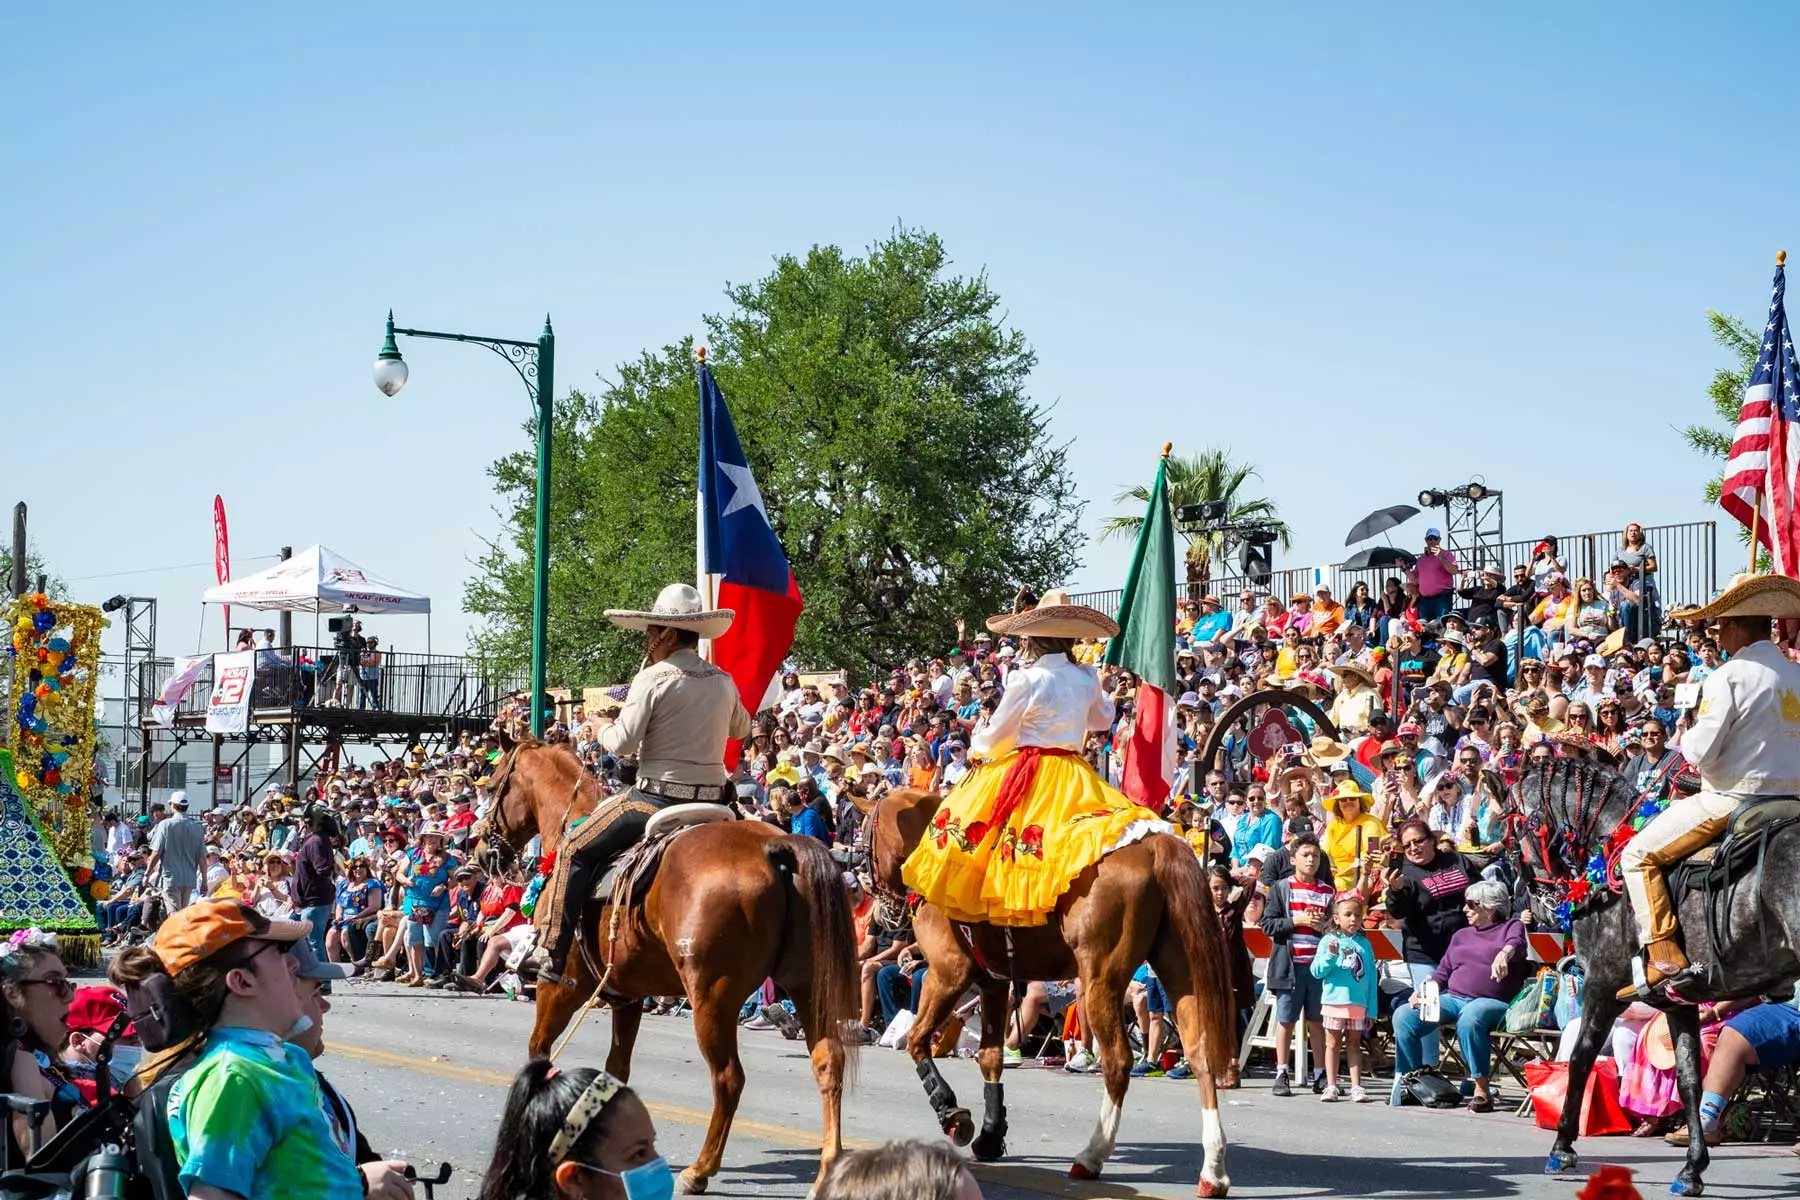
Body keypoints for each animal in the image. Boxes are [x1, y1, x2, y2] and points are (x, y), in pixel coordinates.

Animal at [468, 737, 853, 1194]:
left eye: (494, 784)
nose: (480, 850)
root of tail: (777, 848)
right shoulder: (627, 997)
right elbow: (616, 1069)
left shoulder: (561, 985)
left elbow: (539, 1052)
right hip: (809, 986)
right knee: (828, 1062)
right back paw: (826, 1171)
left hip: (712, 999)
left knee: (728, 1078)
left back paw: (700, 1171)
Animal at [867, 788, 1238, 1194]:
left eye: (866, 835)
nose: (882, 912)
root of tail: (1156, 844)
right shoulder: (994, 982)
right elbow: (990, 1058)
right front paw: (991, 1135)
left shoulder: (948, 973)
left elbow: (917, 1040)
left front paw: (952, 1113)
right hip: (1180, 967)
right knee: (1201, 1054)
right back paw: (1213, 1171)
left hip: (1100, 980)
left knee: (1118, 1060)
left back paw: (1091, 1156)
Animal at [1519, 759, 1800, 1194]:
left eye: (1521, 827)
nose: (1539, 903)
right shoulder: (1678, 1003)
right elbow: (1689, 1079)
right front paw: (1692, 1169)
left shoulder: (1601, 988)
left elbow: (1581, 1060)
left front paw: (1562, 1148)